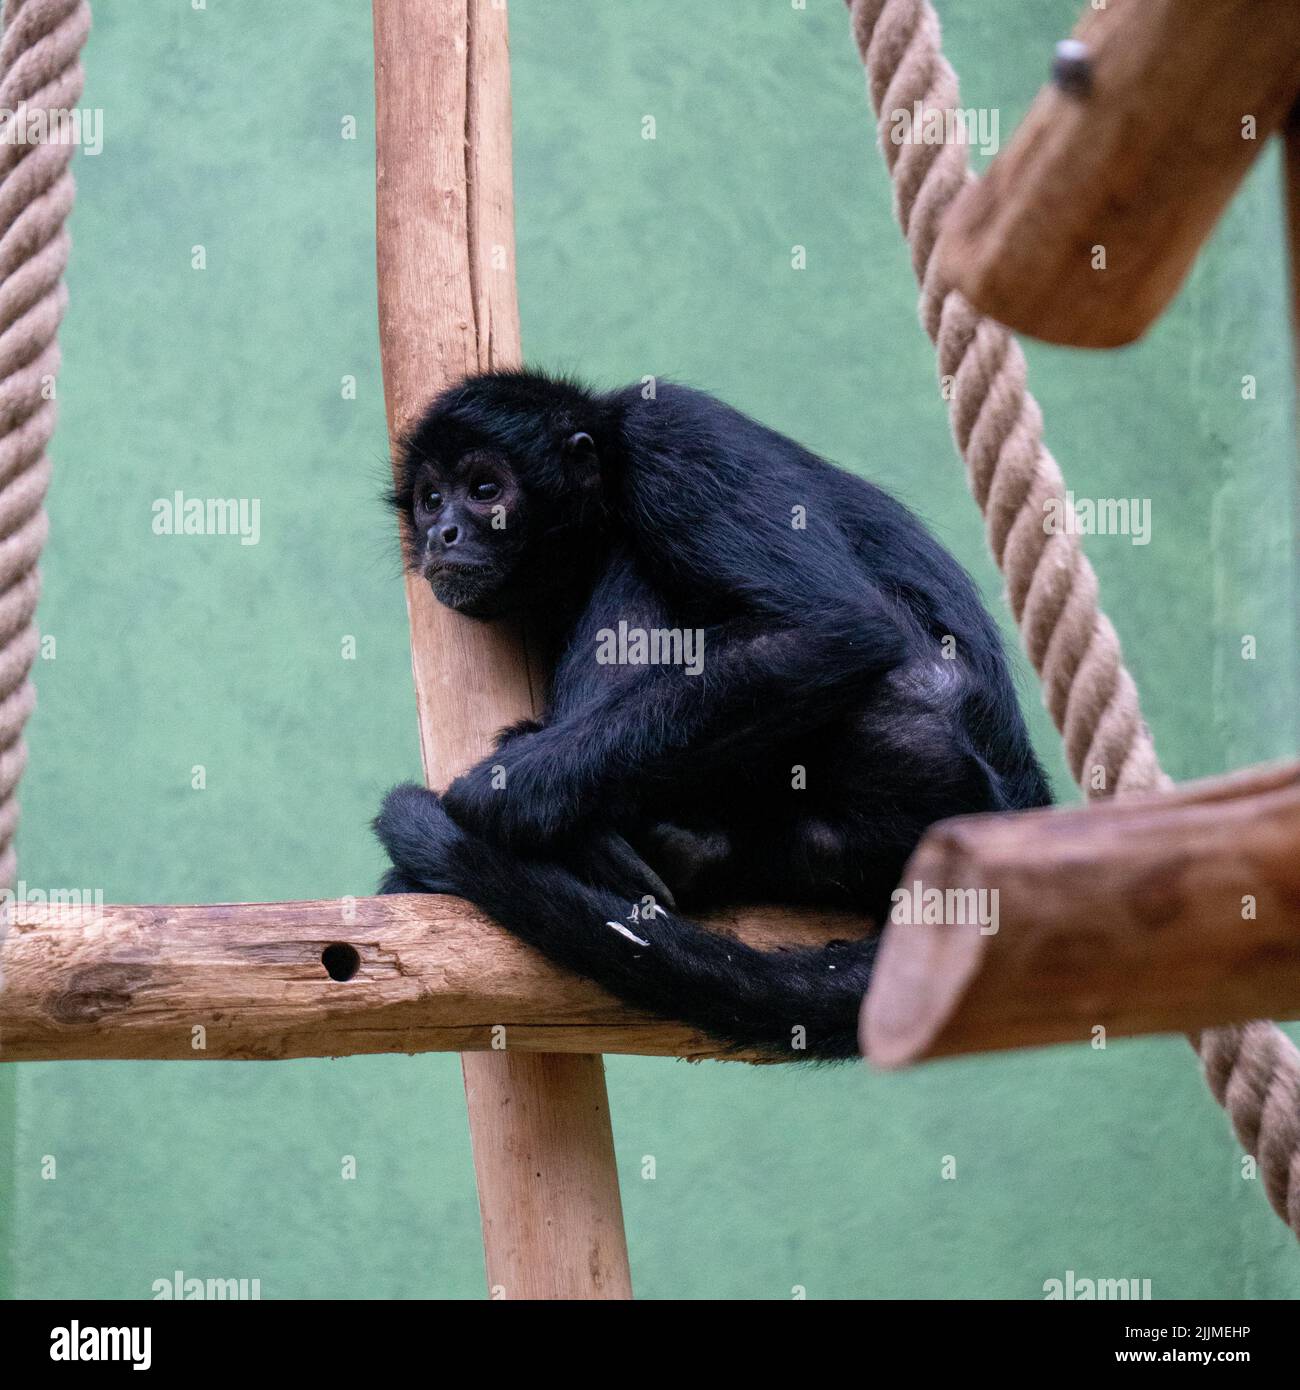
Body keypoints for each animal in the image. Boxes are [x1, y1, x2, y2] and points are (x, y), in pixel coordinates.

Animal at [373, 370, 1051, 1059]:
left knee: (638, 557)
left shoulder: (673, 435)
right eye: (431, 499)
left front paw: (495, 796)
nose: (442, 533)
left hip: (923, 740)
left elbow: (829, 626)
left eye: (485, 490)